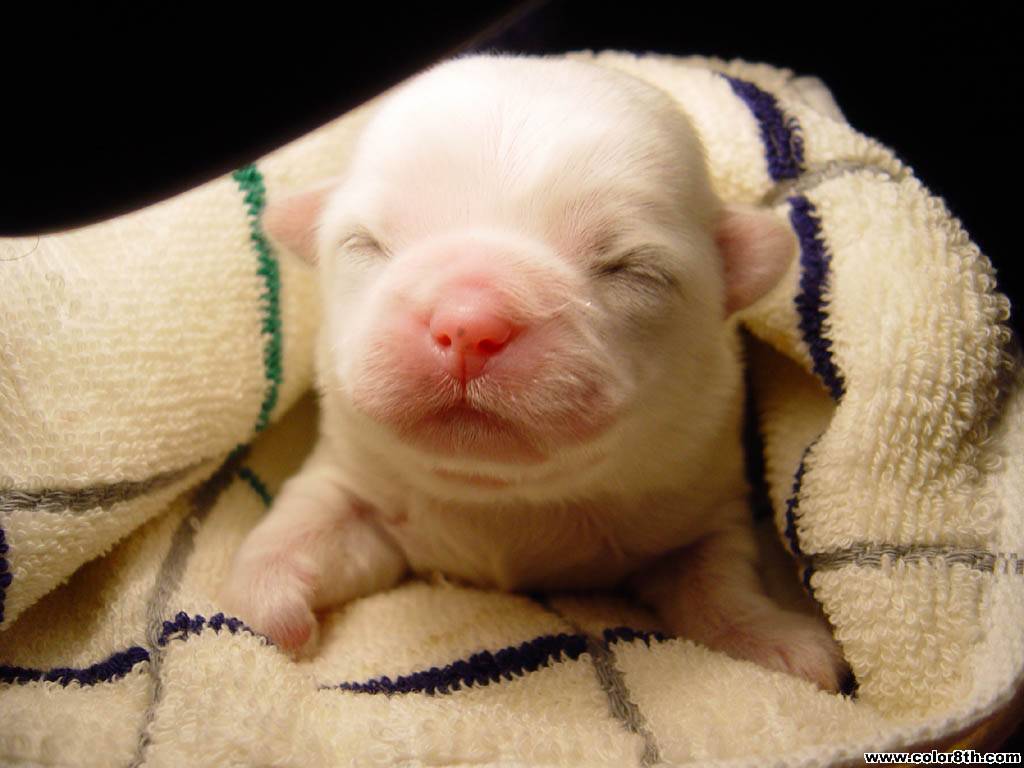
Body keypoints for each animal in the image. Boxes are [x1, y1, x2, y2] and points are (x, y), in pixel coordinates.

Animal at [221, 54, 847, 691]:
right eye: (364, 244)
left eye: (632, 270)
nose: (467, 324)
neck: (501, 497)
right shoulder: (352, 477)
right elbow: (306, 522)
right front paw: (262, 603)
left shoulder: (703, 493)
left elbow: (718, 576)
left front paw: (774, 638)